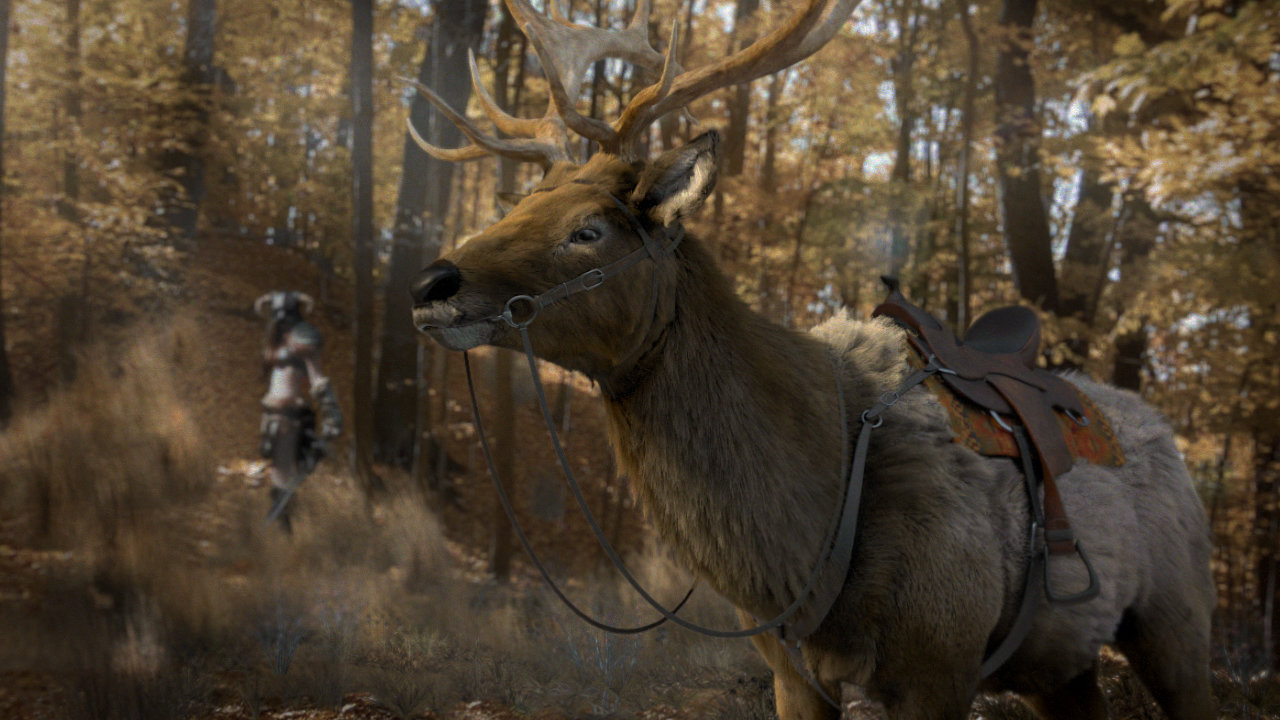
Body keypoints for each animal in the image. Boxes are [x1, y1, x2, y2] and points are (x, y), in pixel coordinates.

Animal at [404, 1, 1215, 718]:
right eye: (519, 206)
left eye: (587, 229)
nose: (428, 284)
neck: (800, 541)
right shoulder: (790, 671)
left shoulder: (942, 660)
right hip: (1061, 666)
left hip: (1176, 617)